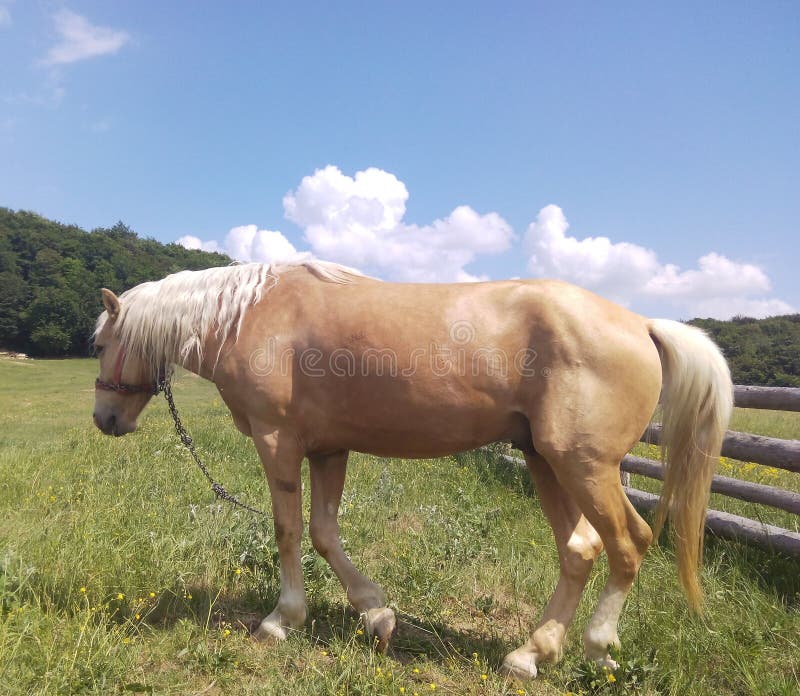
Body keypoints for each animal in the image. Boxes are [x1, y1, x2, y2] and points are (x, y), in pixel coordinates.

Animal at [92, 260, 732, 679]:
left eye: (100, 344)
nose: (105, 418)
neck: (253, 317)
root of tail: (642, 322)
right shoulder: (328, 450)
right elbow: (324, 533)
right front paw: (376, 613)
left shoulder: (279, 443)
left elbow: (288, 530)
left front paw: (281, 619)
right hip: (546, 462)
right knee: (579, 549)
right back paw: (531, 654)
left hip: (583, 465)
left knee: (628, 543)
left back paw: (597, 648)